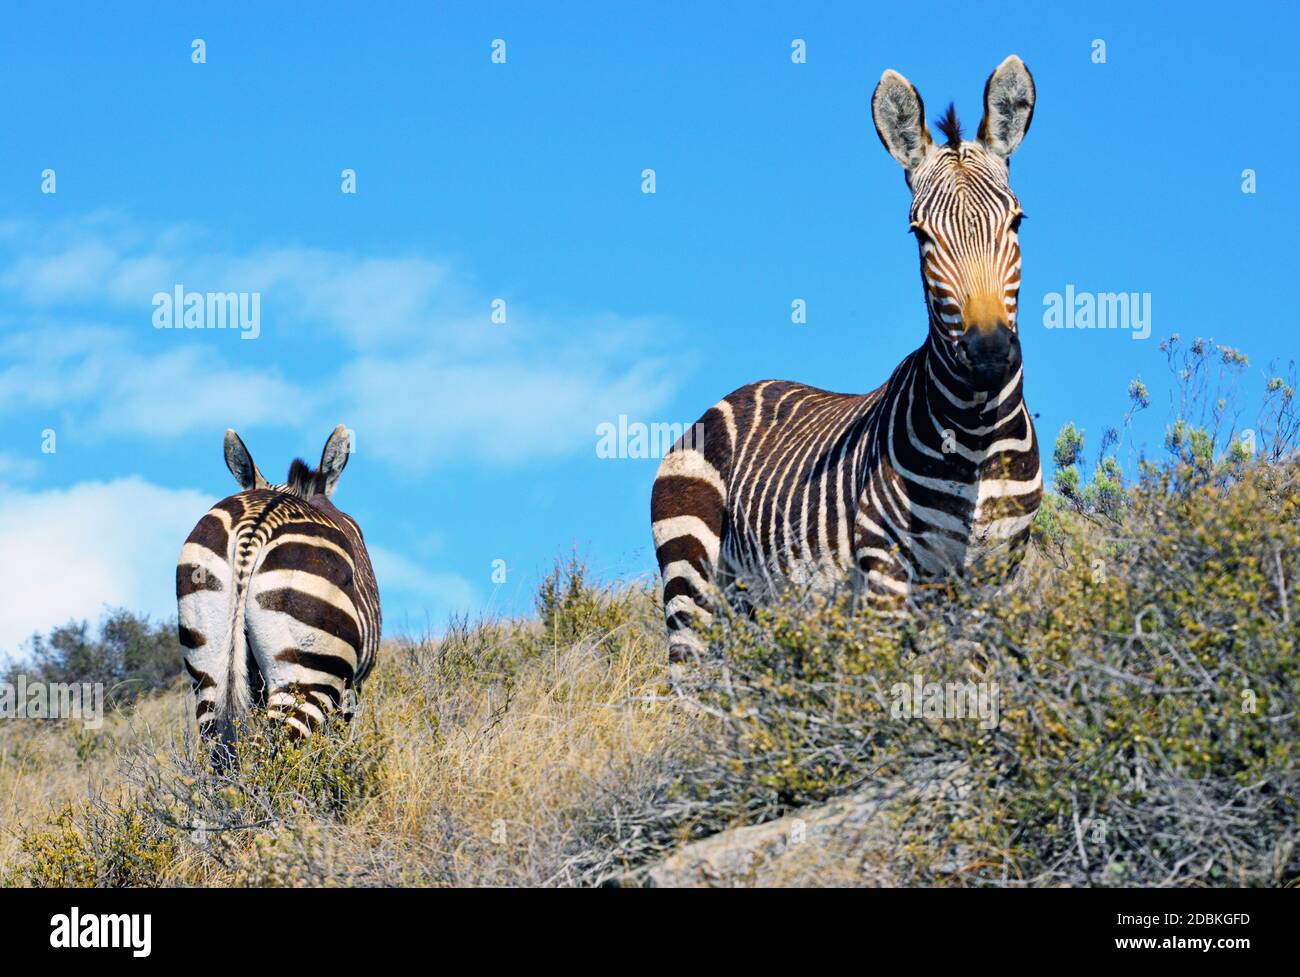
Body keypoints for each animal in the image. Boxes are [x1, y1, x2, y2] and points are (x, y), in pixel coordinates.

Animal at [650, 56, 1043, 661]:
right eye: (920, 235)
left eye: (1017, 222)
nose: (988, 354)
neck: (976, 433)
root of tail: (729, 396)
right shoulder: (885, 570)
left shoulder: (997, 577)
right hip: (689, 574)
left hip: (755, 602)